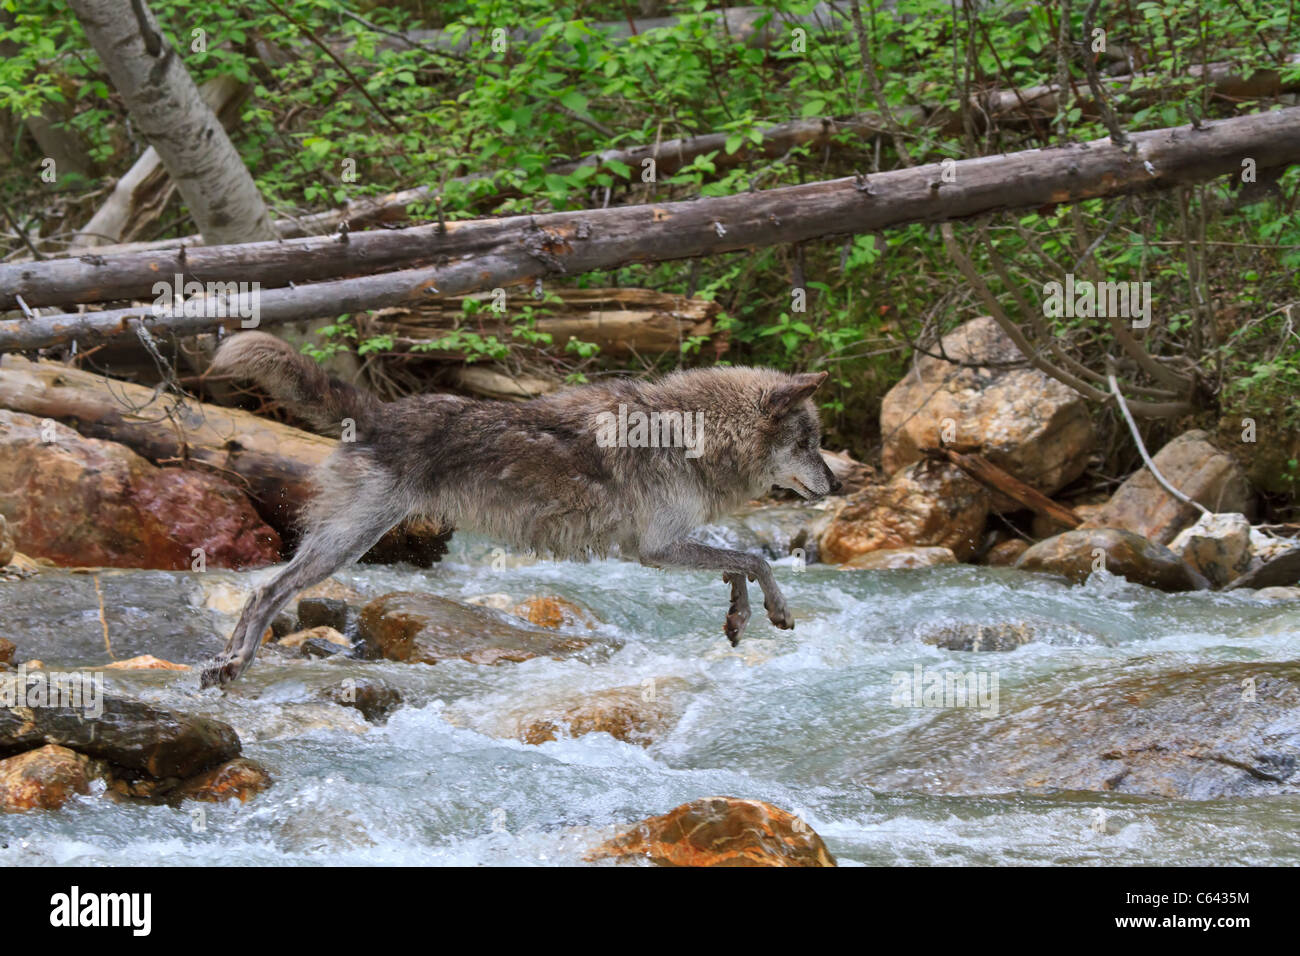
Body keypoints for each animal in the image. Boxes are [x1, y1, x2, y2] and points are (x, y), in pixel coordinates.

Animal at [200, 332, 840, 687]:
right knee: (266, 590)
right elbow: (756, 559)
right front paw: (776, 611)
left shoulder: (666, 547)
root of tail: (380, 411)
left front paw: (737, 617)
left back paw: (229, 665)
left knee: (262, 591)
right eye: (809, 442)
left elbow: (738, 565)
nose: (835, 482)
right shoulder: (656, 549)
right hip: (350, 541)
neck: (691, 434)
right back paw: (233, 664)